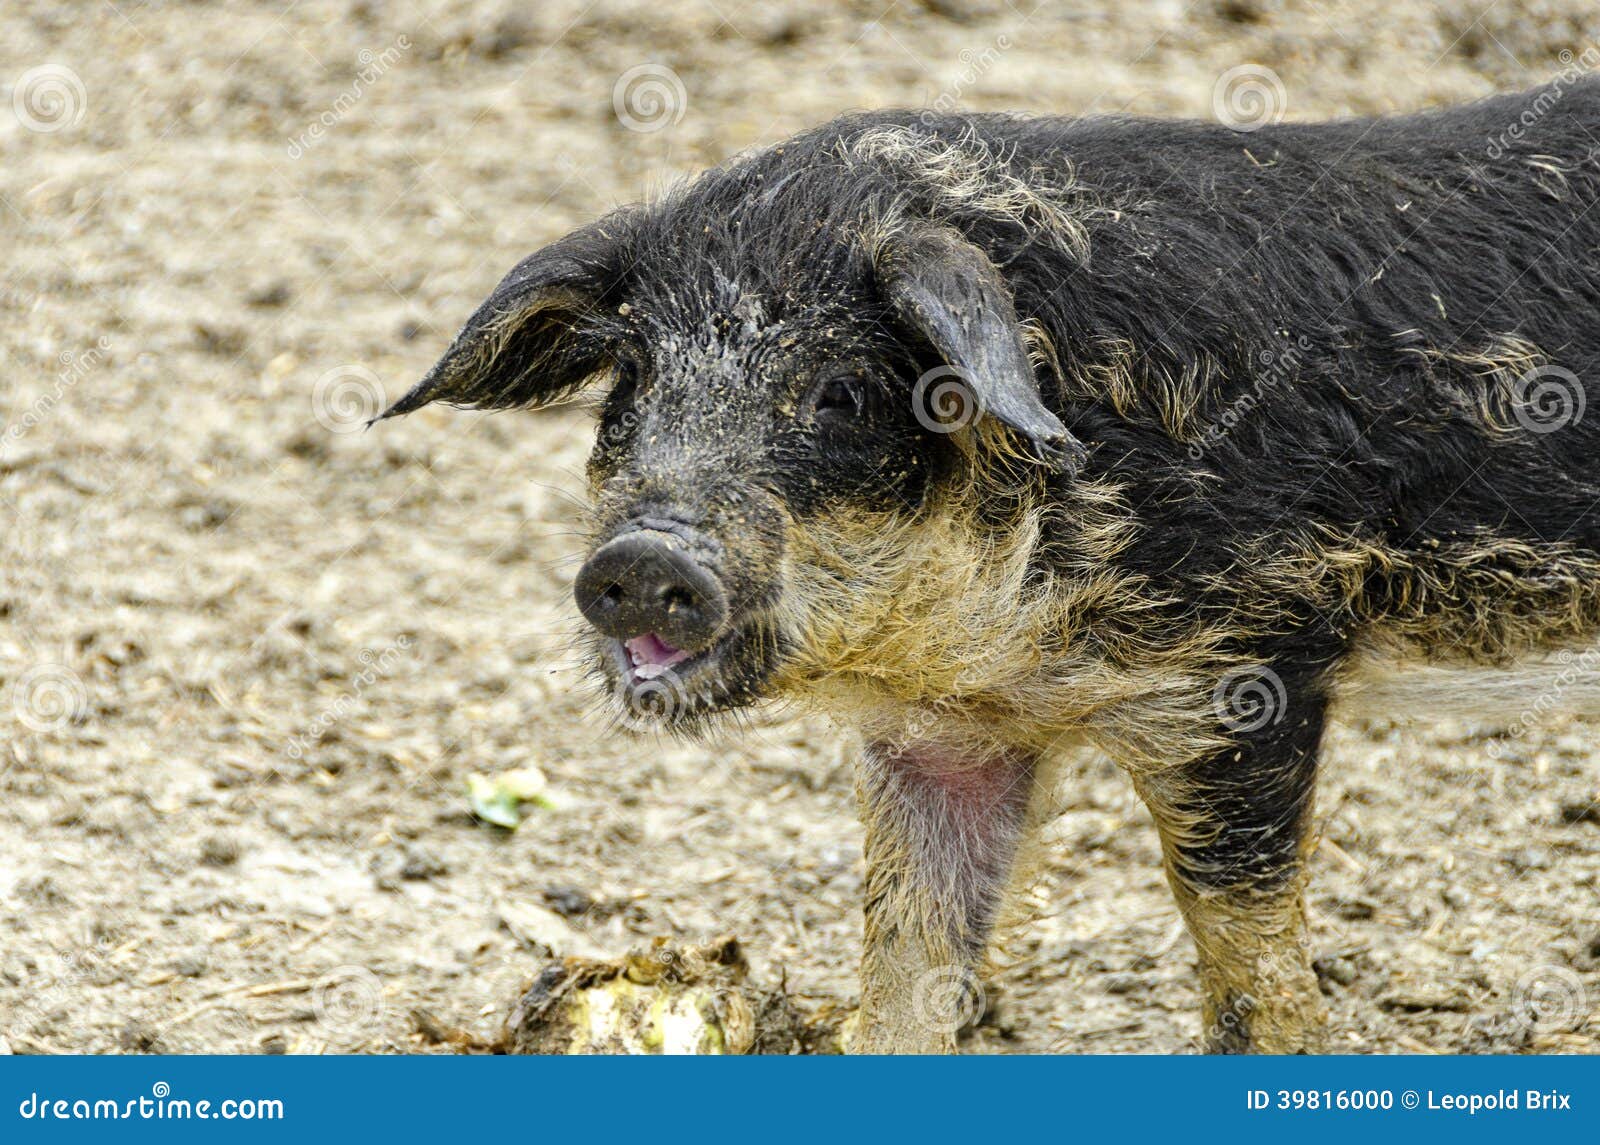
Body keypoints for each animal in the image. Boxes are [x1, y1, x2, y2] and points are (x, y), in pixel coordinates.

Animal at [382, 78, 1600, 1052]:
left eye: (841, 393)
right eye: (630, 385)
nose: (644, 555)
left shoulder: (1249, 667)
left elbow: (1247, 955)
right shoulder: (945, 737)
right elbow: (909, 955)